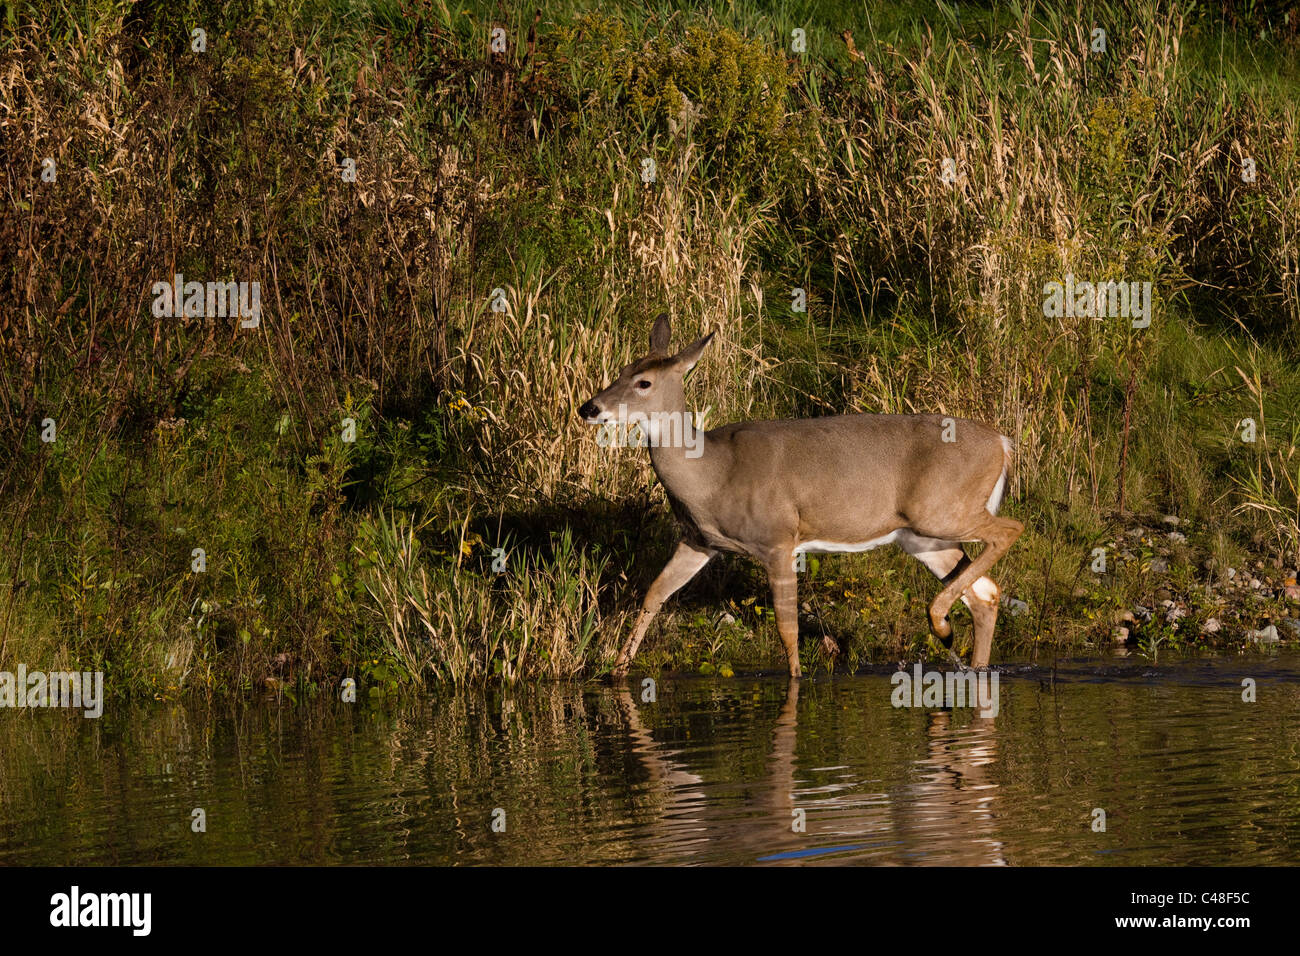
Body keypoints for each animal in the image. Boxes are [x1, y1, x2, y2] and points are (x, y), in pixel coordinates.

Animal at [578, 314, 1023, 679]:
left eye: (644, 383)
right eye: (621, 370)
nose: (589, 407)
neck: (713, 474)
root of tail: (1002, 444)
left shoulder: (778, 539)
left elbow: (786, 627)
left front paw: (795, 679)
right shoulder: (699, 540)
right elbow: (654, 593)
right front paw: (616, 671)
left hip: (942, 510)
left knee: (1010, 530)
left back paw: (940, 622)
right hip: (922, 536)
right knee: (986, 594)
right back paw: (969, 661)